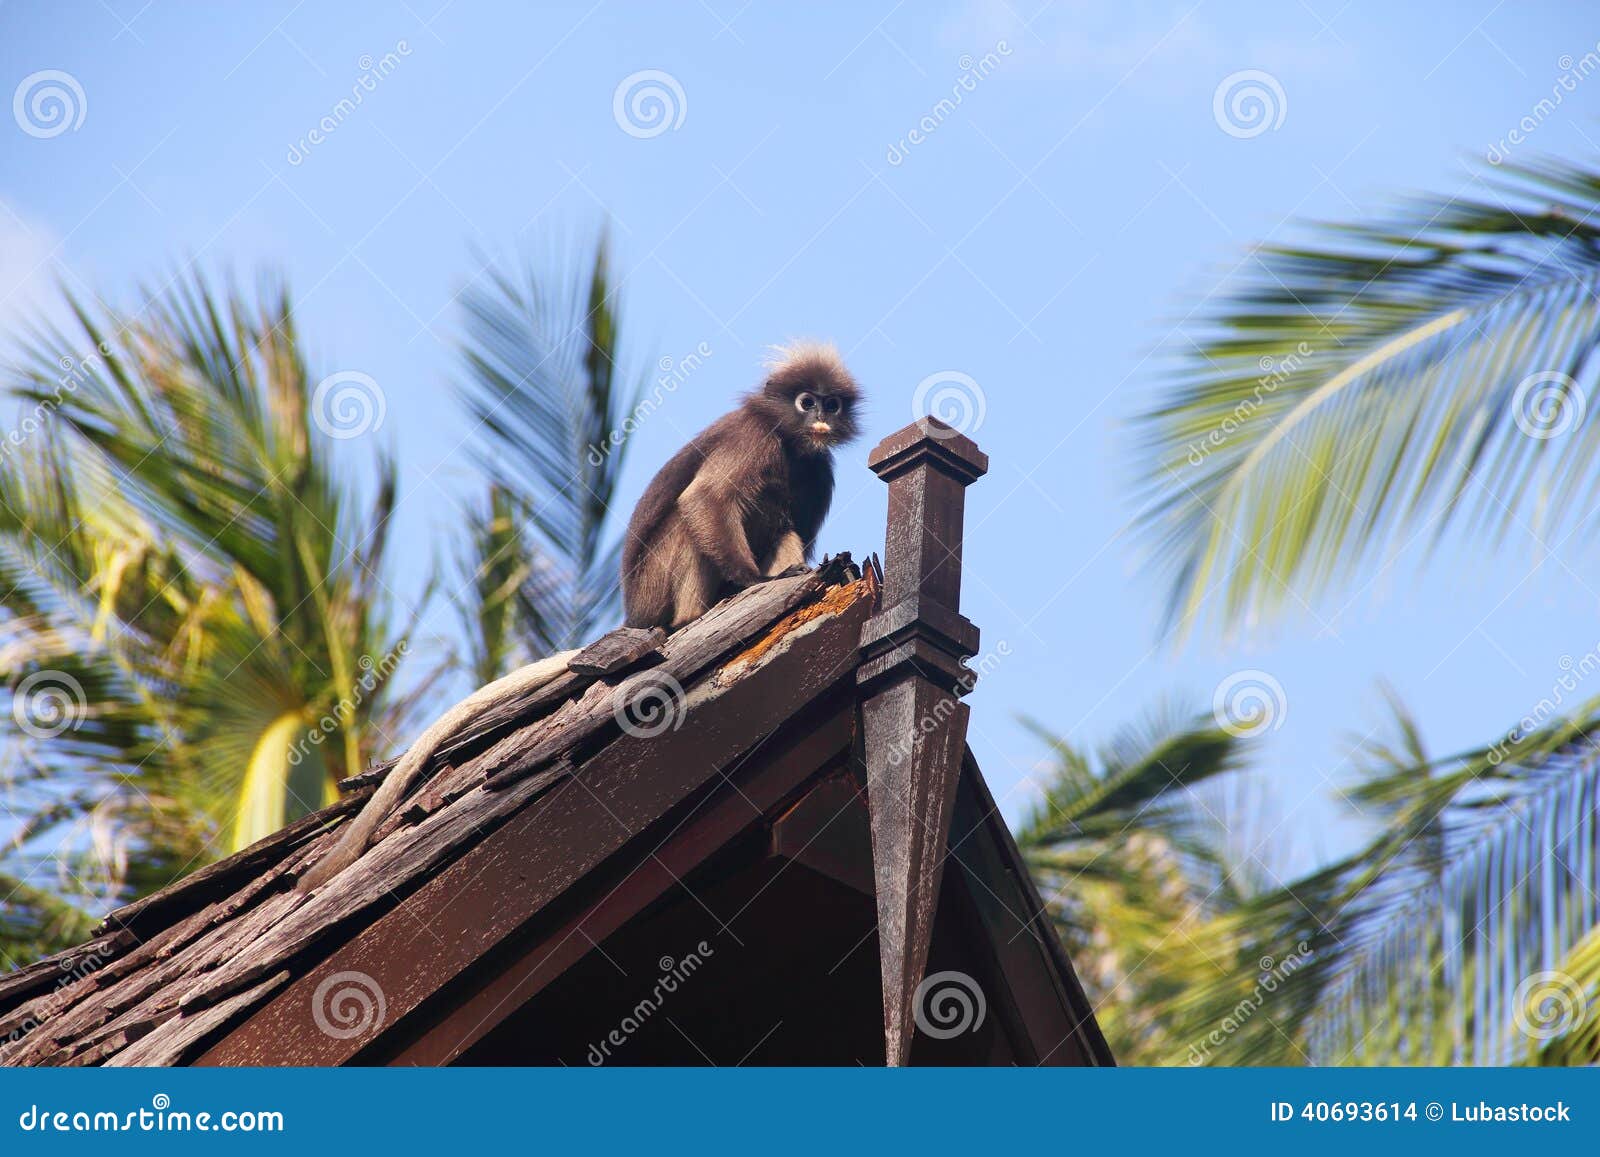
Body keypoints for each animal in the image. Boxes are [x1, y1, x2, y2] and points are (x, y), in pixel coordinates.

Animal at [621, 341, 861, 630]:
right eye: (807, 402)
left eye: (832, 404)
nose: (820, 416)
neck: (788, 442)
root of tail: (634, 616)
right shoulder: (752, 435)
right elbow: (704, 496)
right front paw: (756, 580)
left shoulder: (821, 470)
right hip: (652, 587)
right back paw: (688, 617)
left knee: (784, 528)